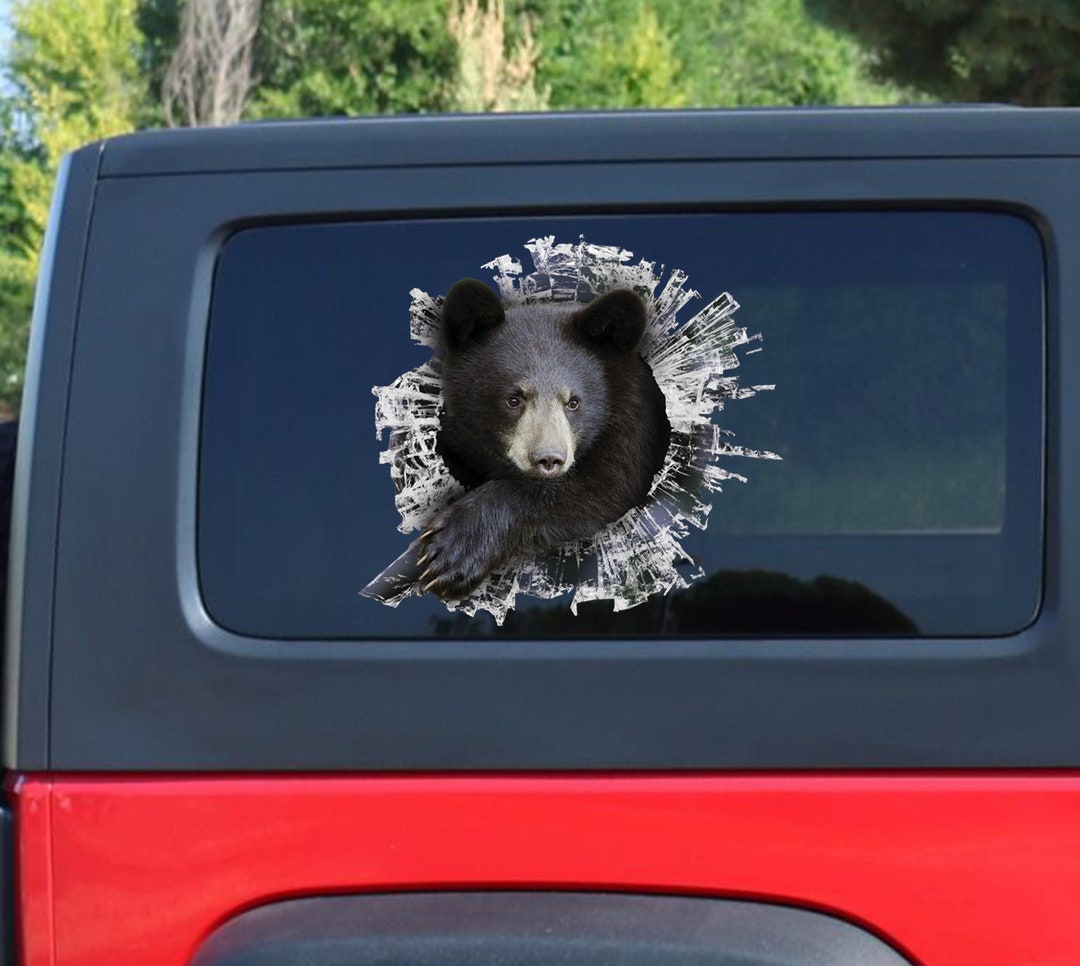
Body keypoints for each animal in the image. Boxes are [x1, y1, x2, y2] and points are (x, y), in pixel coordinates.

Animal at [417, 278, 671, 601]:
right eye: (513, 399)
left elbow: (604, 488)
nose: (548, 458)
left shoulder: (632, 421)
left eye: (573, 402)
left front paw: (453, 549)